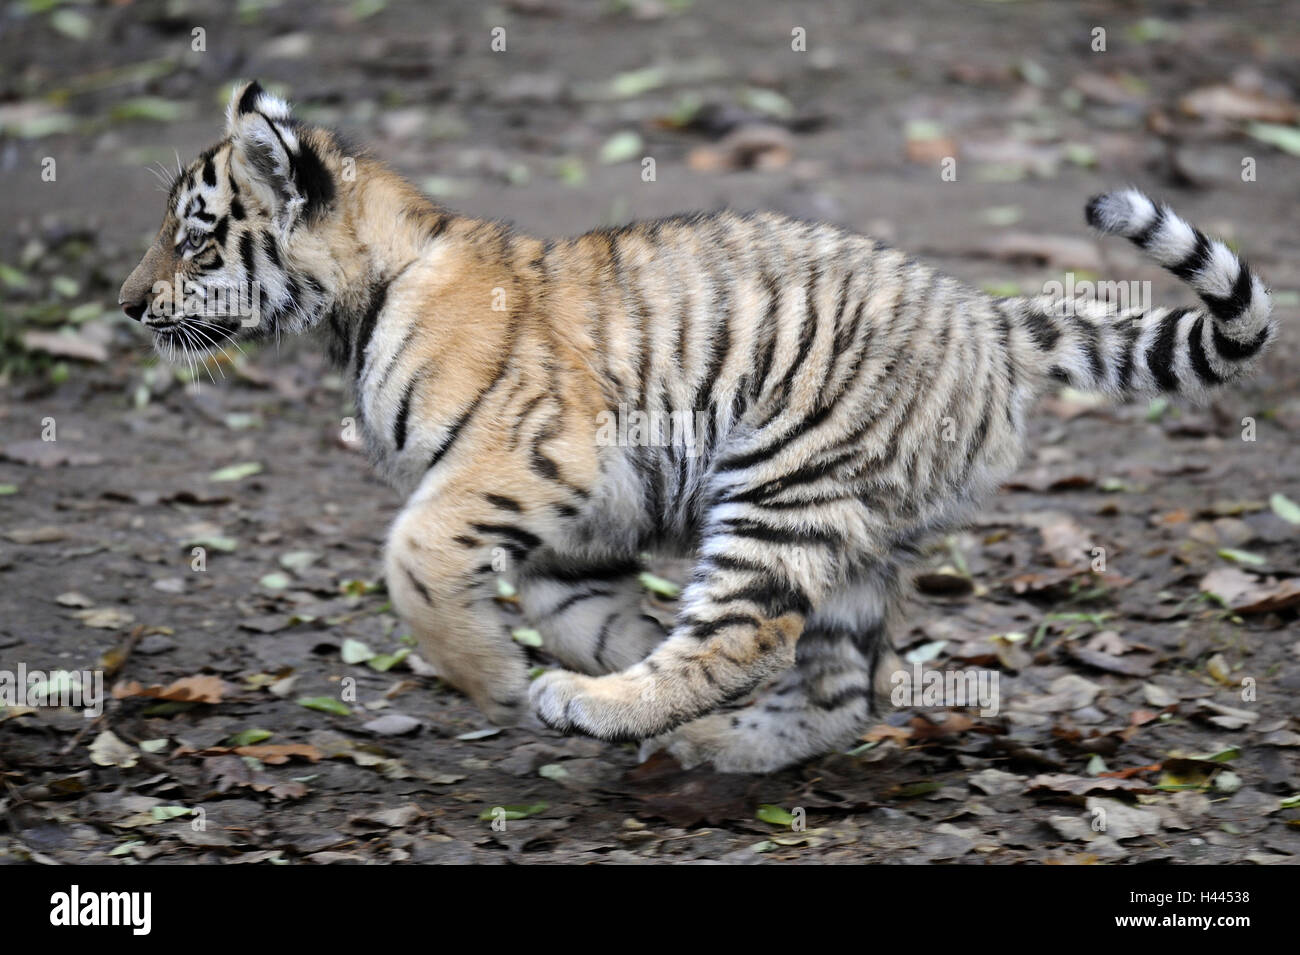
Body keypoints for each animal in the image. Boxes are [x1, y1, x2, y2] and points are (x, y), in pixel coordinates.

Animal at [119, 81, 1275, 772]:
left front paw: (492, 677)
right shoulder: (575, 529)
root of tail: (986, 318)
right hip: (854, 534)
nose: (127, 305)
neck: (361, 299)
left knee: (747, 635)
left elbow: (412, 558)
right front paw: (595, 664)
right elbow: (581, 617)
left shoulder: (524, 458)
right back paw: (719, 744)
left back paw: (617, 713)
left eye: (194, 238)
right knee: (837, 682)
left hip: (784, 482)